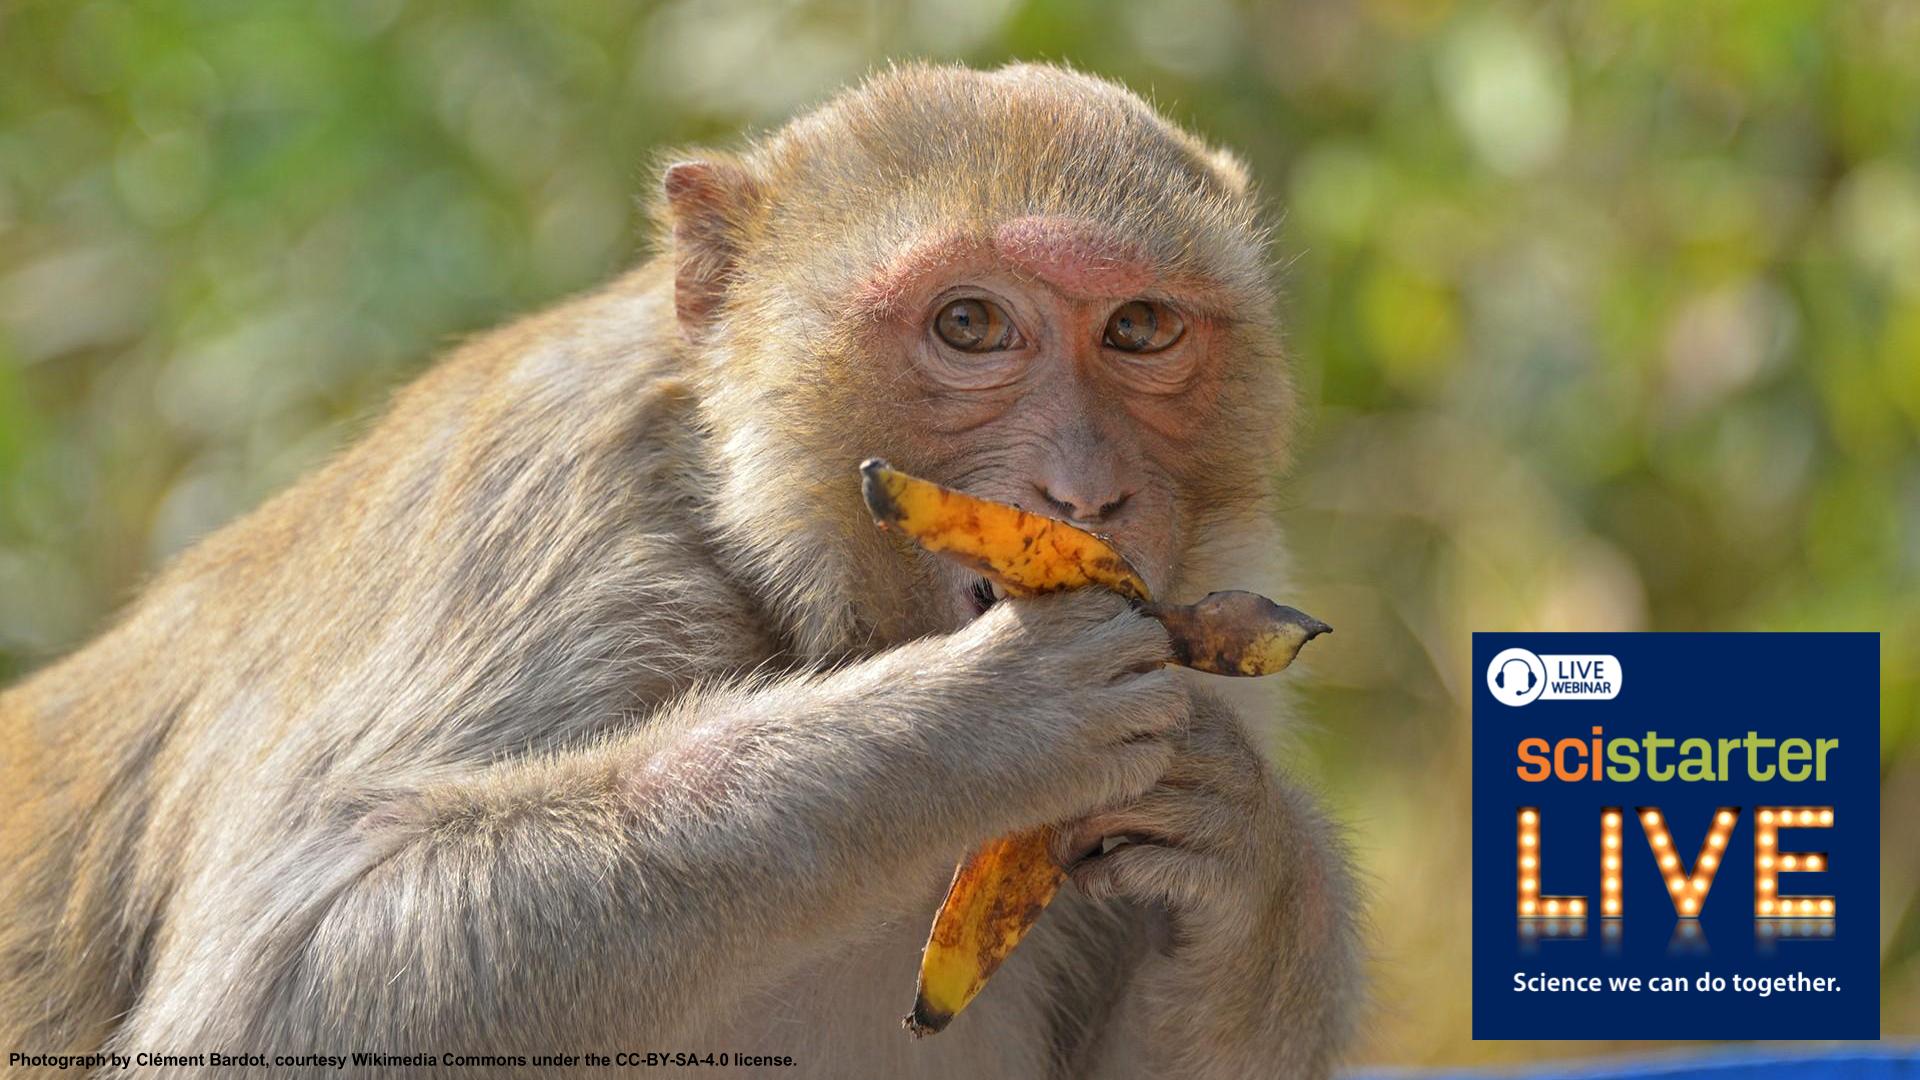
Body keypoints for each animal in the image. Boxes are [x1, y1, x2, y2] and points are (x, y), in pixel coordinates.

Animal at [0, 63, 1361, 1078]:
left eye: (1141, 329)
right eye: (970, 325)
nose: (1086, 492)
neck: (780, 592)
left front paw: (1250, 852)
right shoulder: (549, 522)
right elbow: (285, 981)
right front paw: (976, 722)